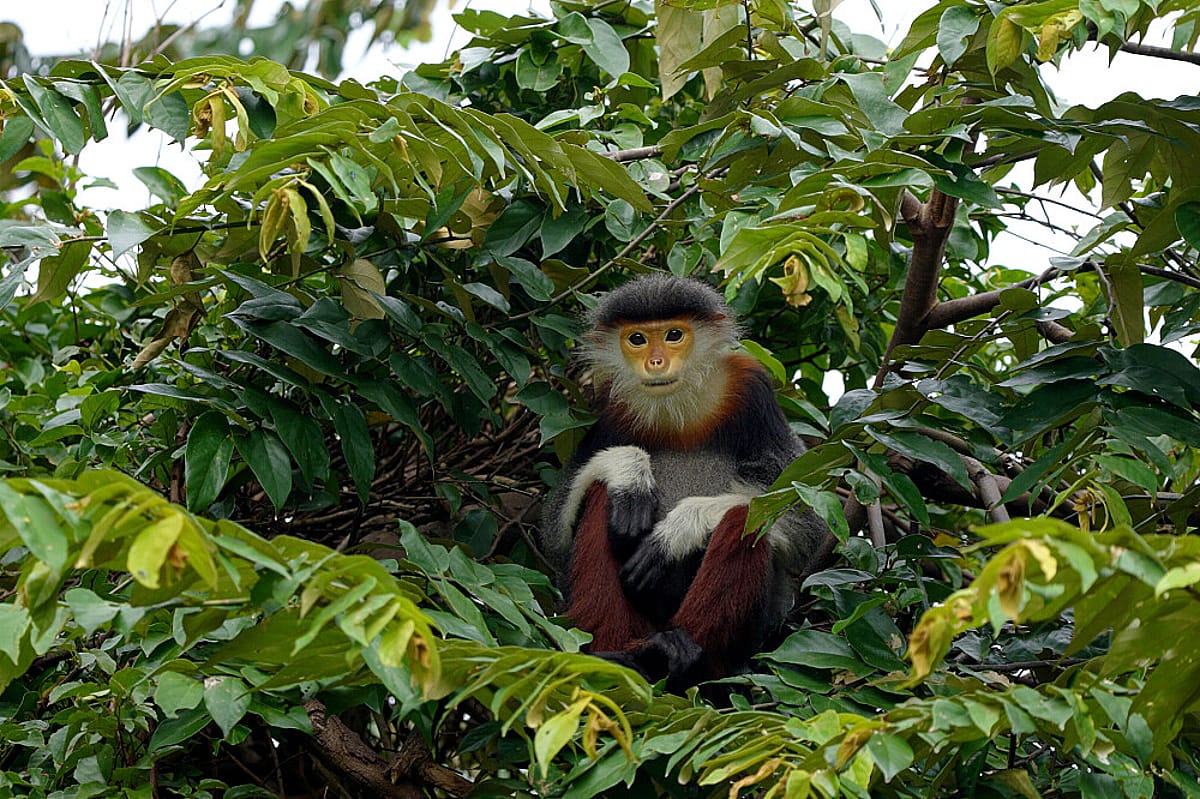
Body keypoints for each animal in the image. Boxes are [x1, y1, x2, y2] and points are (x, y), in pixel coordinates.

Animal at [541, 274, 830, 690]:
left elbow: (807, 524)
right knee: (604, 498)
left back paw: (682, 657)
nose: (656, 362)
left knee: (744, 518)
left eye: (674, 334)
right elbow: (554, 535)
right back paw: (617, 657)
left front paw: (679, 531)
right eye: (637, 339)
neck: (680, 413)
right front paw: (630, 473)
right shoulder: (613, 412)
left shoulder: (752, 388)